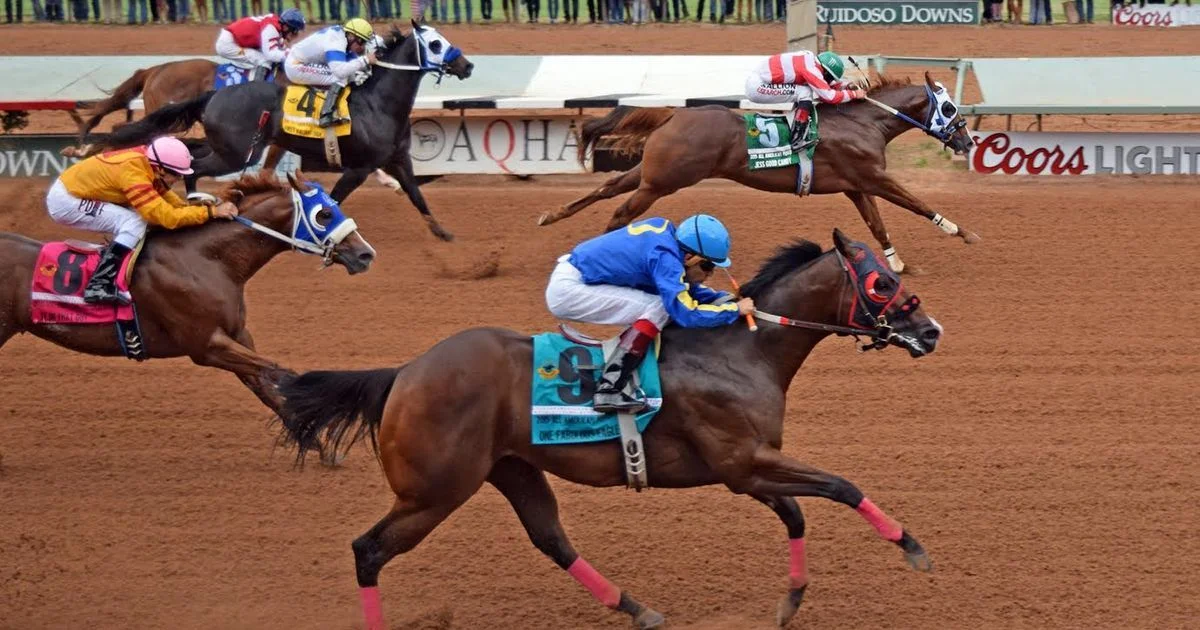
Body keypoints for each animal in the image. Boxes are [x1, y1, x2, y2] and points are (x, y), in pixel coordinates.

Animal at [0, 170, 376, 430]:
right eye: (323, 215)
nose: (365, 254)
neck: (206, 260)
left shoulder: (236, 335)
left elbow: (265, 386)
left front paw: (313, 441)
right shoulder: (205, 345)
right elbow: (280, 372)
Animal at [79, 22, 474, 243]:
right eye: (435, 44)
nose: (466, 64)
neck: (378, 104)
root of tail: (214, 94)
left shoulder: (399, 160)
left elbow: (417, 196)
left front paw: (444, 234)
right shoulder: (358, 167)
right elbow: (335, 199)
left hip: (231, 146)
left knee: (187, 153)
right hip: (236, 152)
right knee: (192, 164)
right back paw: (196, 198)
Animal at [273, 228, 943, 630]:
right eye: (883, 281)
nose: (932, 330)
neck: (740, 351)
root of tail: (405, 373)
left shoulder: (748, 469)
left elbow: (799, 514)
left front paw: (791, 600)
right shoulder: (744, 462)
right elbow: (842, 486)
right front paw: (912, 546)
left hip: (511, 470)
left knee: (551, 539)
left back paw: (639, 609)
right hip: (434, 491)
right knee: (369, 551)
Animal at [538, 72, 982, 276]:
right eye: (949, 108)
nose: (967, 142)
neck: (865, 122)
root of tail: (673, 113)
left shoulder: (857, 186)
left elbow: (877, 225)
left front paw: (898, 264)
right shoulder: (873, 178)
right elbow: (916, 204)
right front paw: (962, 232)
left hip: (652, 174)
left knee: (607, 189)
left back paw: (551, 216)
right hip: (663, 181)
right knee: (621, 212)